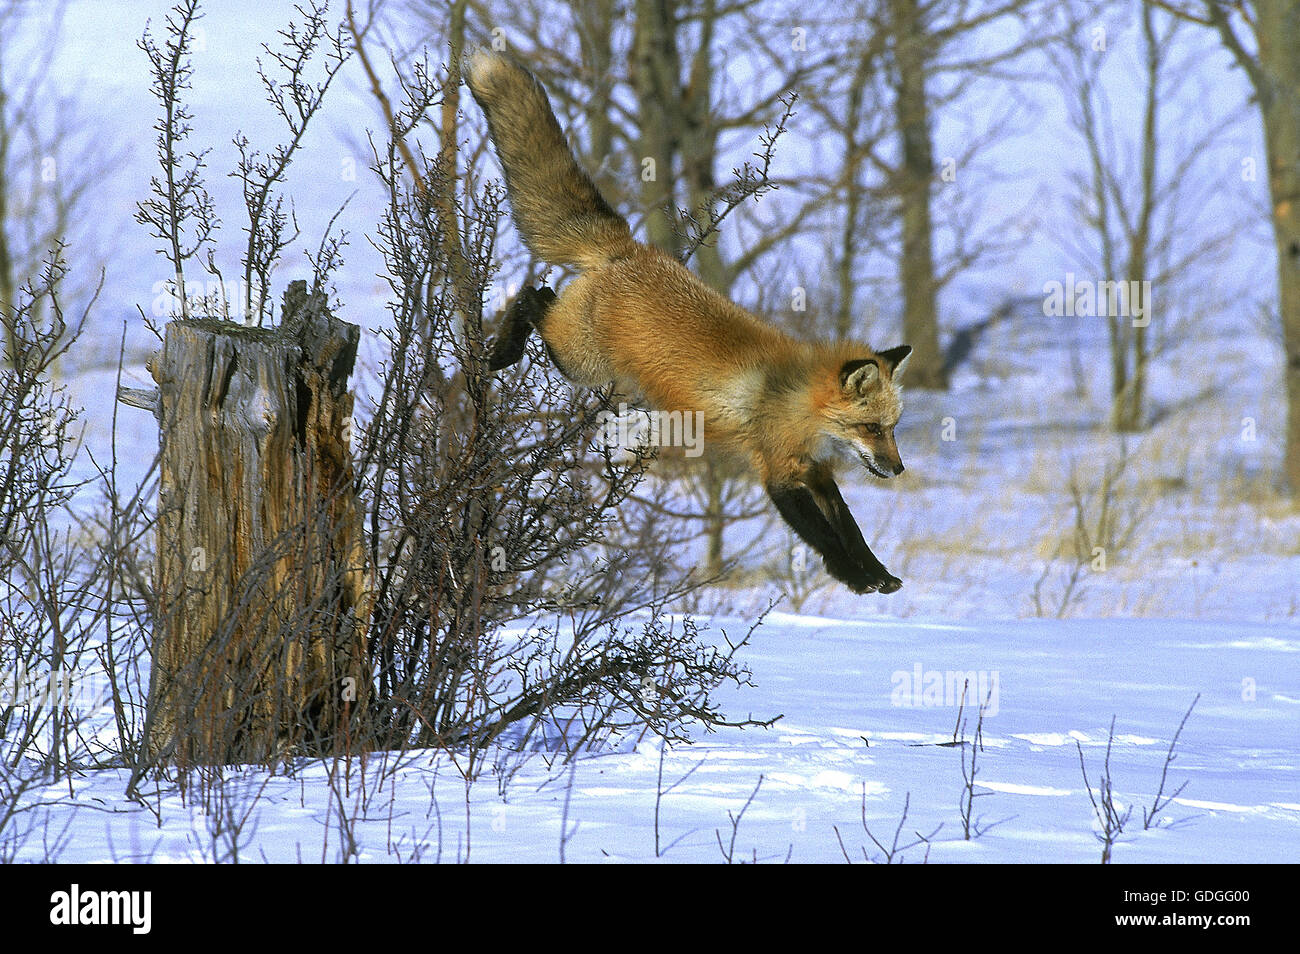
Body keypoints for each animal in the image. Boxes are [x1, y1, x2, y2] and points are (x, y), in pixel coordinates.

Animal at [467, 51, 912, 594]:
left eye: (893, 428)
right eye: (871, 427)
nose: (898, 469)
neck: (796, 401)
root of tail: (628, 250)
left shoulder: (817, 473)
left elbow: (850, 528)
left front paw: (876, 572)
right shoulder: (779, 473)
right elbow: (825, 537)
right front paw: (852, 576)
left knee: (544, 293)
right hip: (581, 361)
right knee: (533, 298)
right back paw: (504, 349)